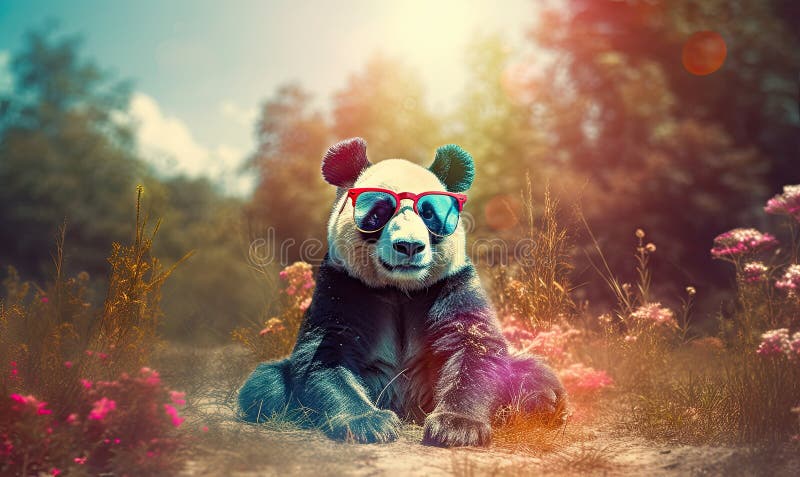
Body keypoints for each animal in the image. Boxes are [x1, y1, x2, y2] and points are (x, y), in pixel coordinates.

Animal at [238, 137, 566, 447]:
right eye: (379, 212)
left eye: (429, 214)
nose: (409, 246)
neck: (400, 287)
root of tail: (407, 408)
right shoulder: (343, 286)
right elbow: (328, 353)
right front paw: (369, 423)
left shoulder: (450, 285)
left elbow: (471, 345)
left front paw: (456, 427)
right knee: (264, 387)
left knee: (537, 380)